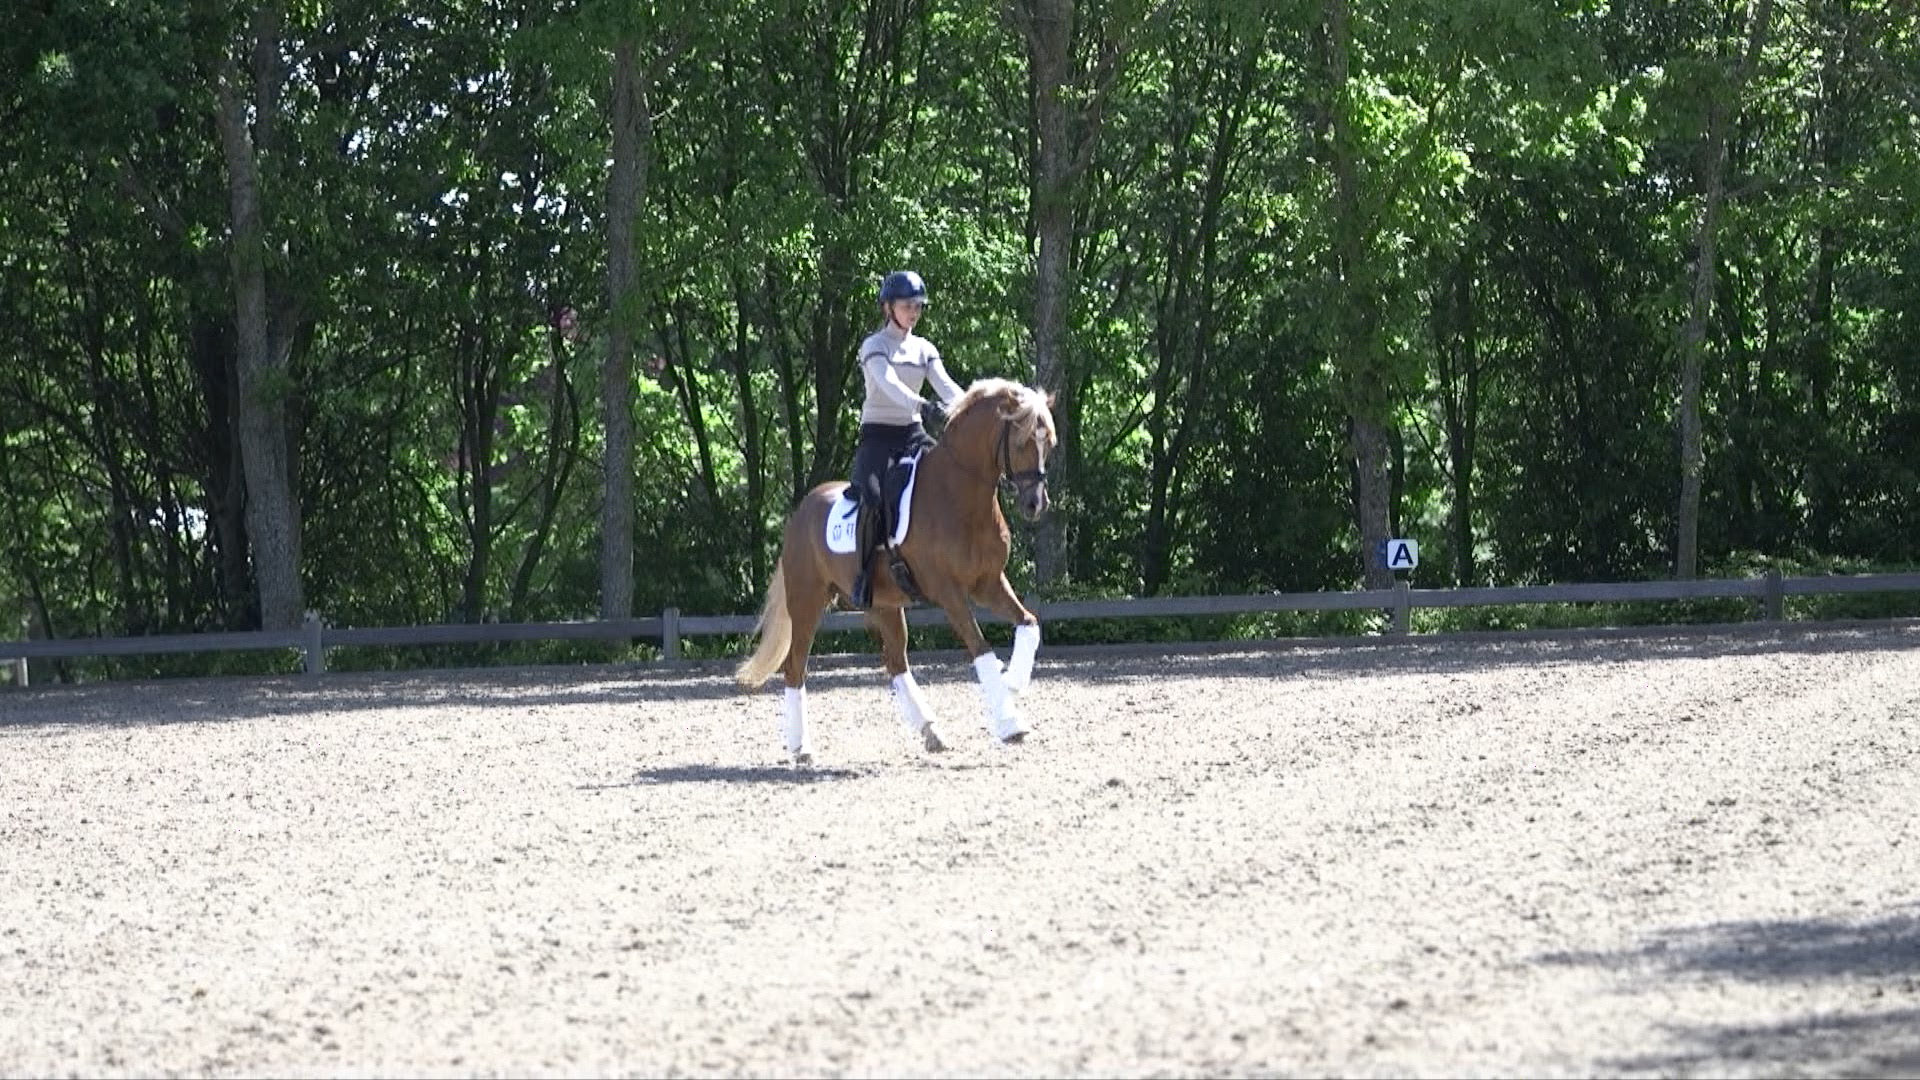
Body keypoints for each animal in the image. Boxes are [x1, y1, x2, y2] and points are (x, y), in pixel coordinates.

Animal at [735, 377, 1056, 762]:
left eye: (1050, 444)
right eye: (1022, 442)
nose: (1036, 504)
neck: (960, 494)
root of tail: (801, 511)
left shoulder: (988, 584)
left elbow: (1029, 622)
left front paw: (1014, 681)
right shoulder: (949, 592)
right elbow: (980, 647)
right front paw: (1010, 722)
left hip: (885, 606)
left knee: (896, 662)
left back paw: (931, 731)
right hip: (807, 602)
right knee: (795, 666)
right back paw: (801, 748)